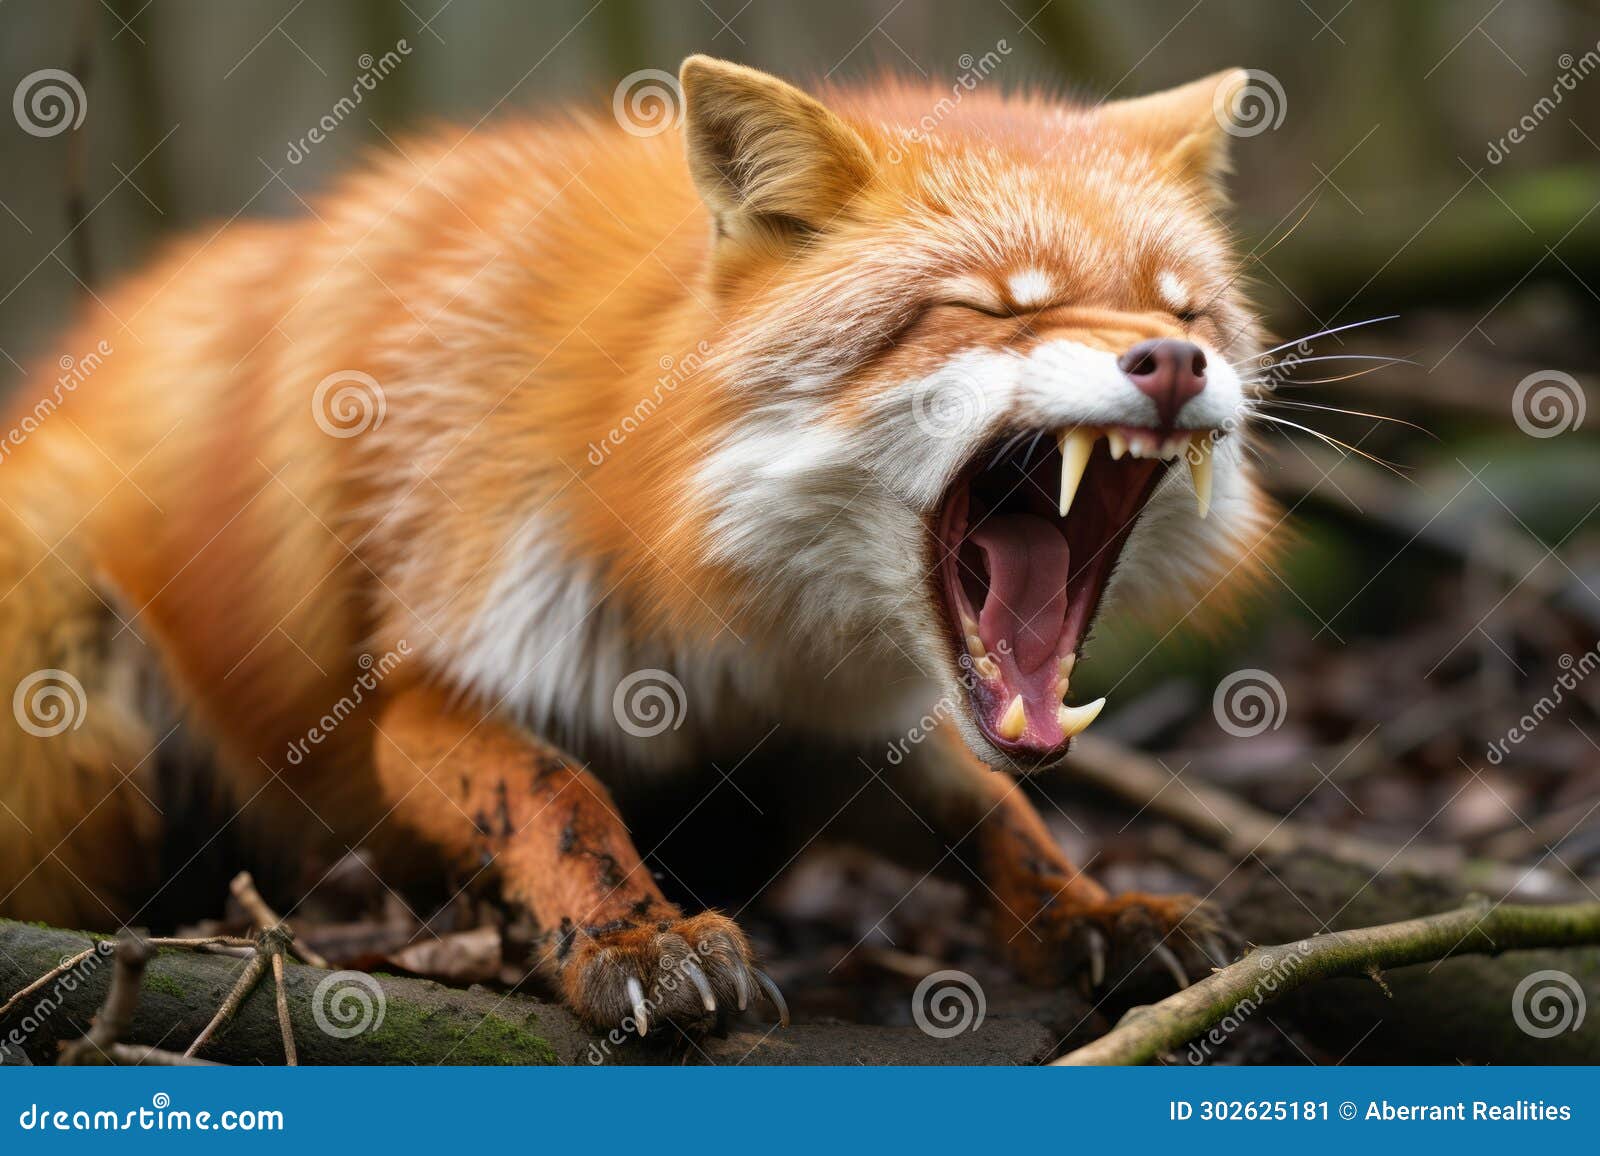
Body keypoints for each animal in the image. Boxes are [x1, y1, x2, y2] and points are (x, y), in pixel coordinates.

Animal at [0, 56, 1274, 1037]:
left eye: (1188, 314)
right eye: (996, 310)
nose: (1173, 363)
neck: (722, 594)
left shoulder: (811, 729)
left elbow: (996, 810)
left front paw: (1095, 911)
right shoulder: (427, 688)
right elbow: (553, 792)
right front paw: (630, 935)